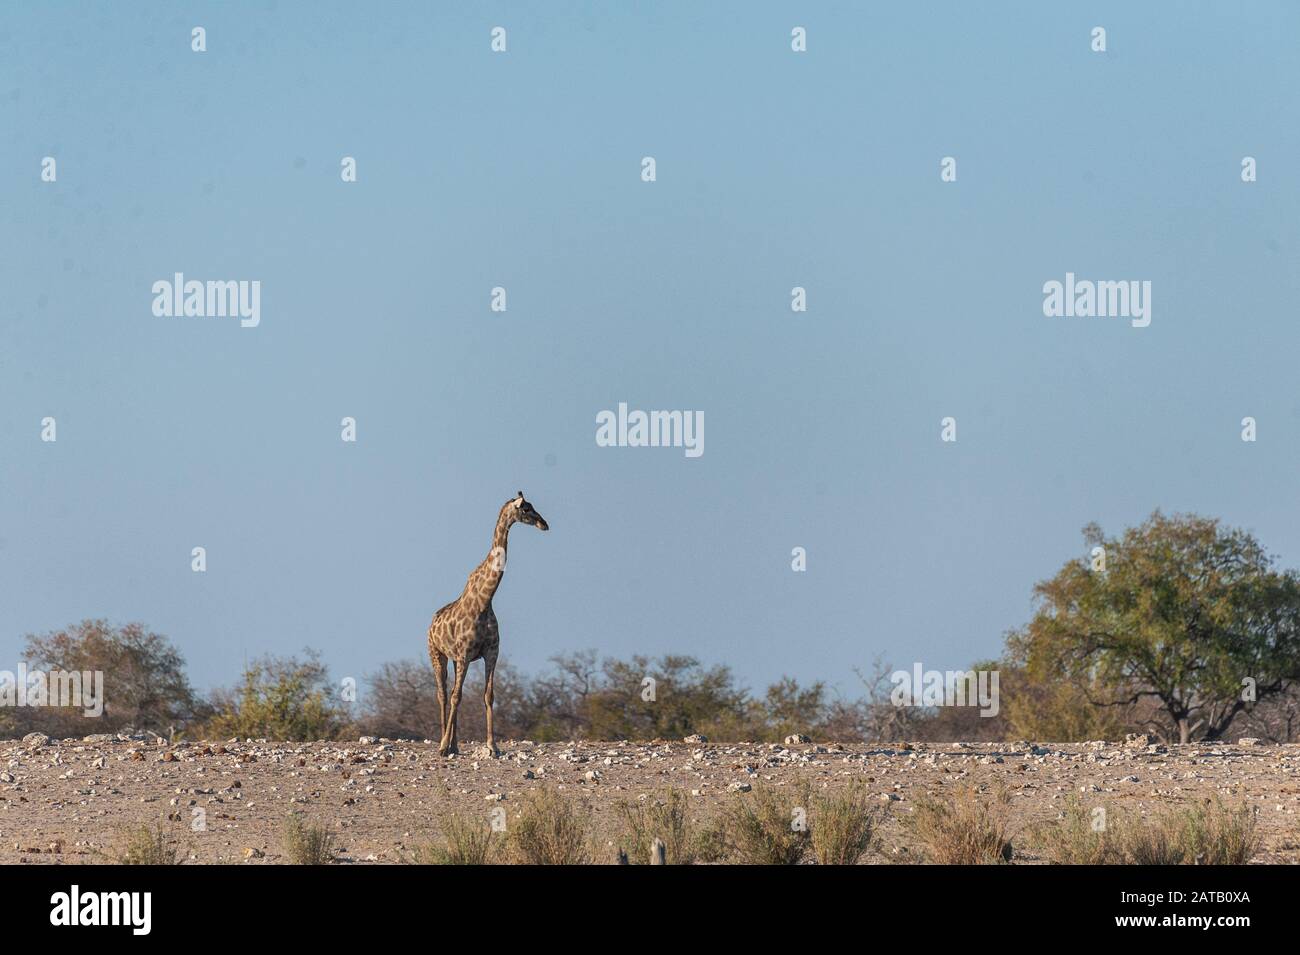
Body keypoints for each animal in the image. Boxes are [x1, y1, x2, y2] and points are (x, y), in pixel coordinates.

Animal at [427, 491, 548, 757]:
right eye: (526, 509)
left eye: (532, 506)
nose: (544, 524)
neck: (484, 601)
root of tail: (431, 623)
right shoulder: (464, 654)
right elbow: (456, 697)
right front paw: (443, 746)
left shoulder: (491, 653)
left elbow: (488, 696)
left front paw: (493, 746)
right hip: (437, 654)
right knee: (443, 694)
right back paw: (443, 743)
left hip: (454, 659)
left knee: (453, 692)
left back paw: (455, 745)